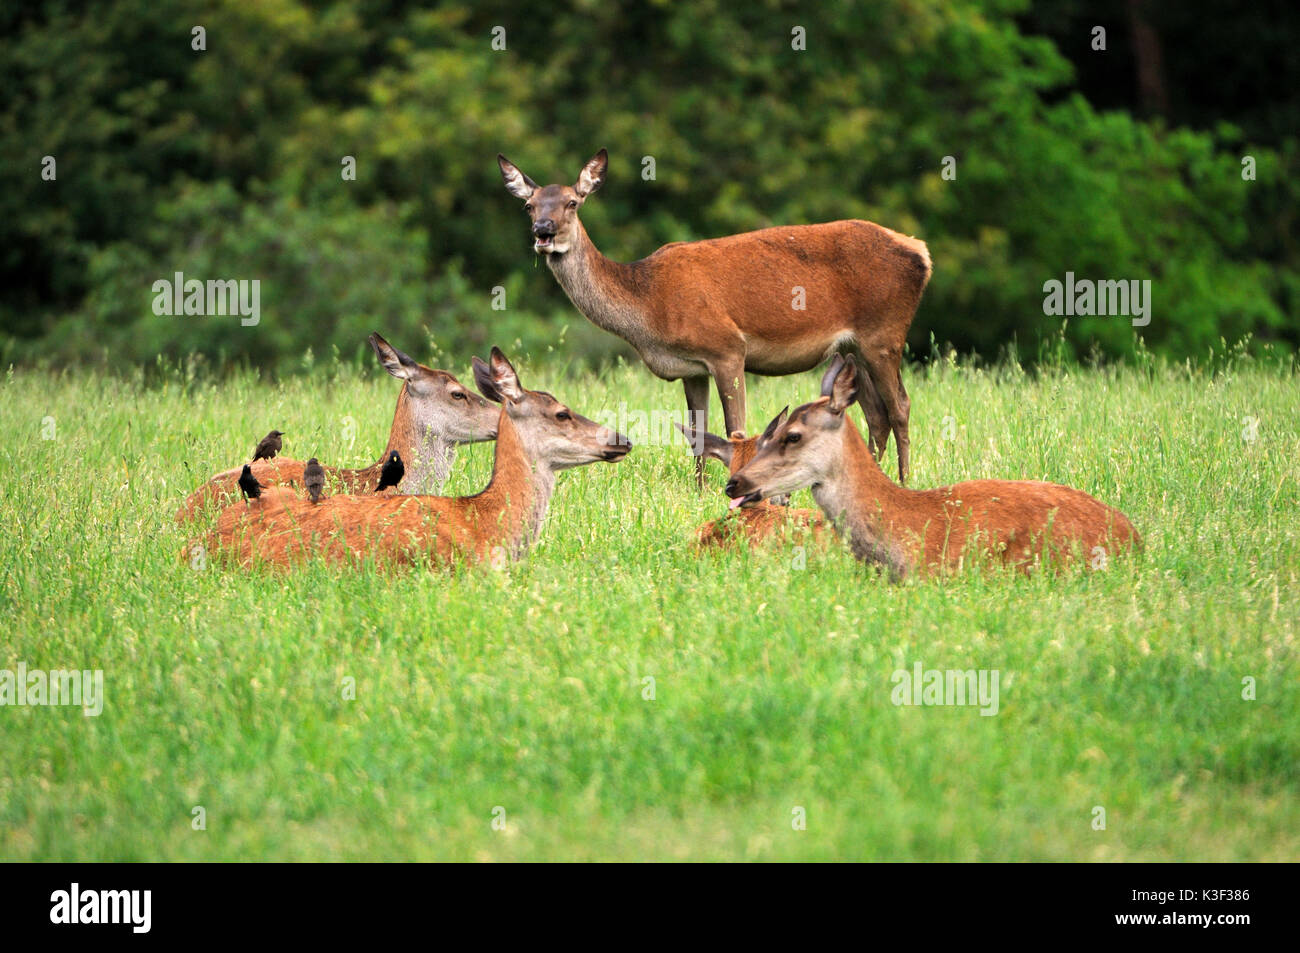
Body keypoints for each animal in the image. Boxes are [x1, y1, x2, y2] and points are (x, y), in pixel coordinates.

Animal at [497, 148, 931, 488]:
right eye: (529, 205)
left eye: (573, 202)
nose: (543, 230)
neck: (648, 306)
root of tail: (921, 253)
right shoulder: (692, 368)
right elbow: (697, 434)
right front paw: (700, 490)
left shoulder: (727, 348)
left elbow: (734, 427)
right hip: (854, 346)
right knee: (876, 414)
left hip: (884, 332)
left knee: (900, 406)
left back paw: (905, 480)